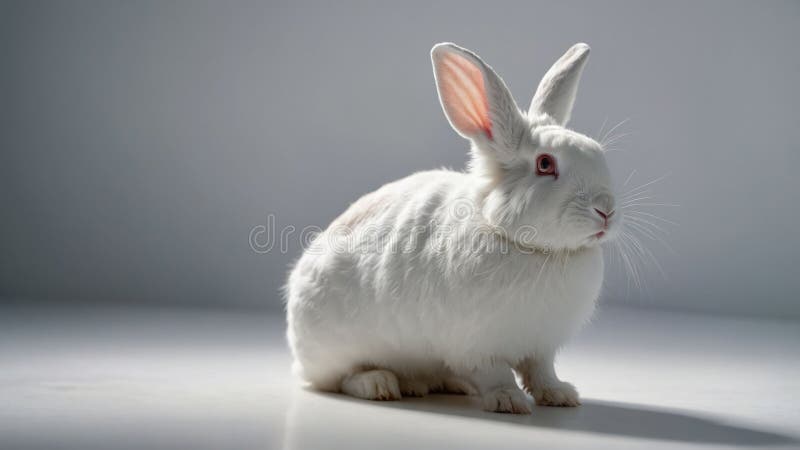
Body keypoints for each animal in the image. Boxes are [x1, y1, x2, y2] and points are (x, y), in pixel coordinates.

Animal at [286, 42, 620, 414]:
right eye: (545, 164)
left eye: (597, 151)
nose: (606, 210)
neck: (528, 245)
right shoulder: (475, 345)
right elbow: (496, 373)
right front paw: (508, 401)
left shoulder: (541, 347)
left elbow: (541, 372)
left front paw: (561, 395)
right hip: (335, 347)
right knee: (338, 379)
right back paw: (380, 384)